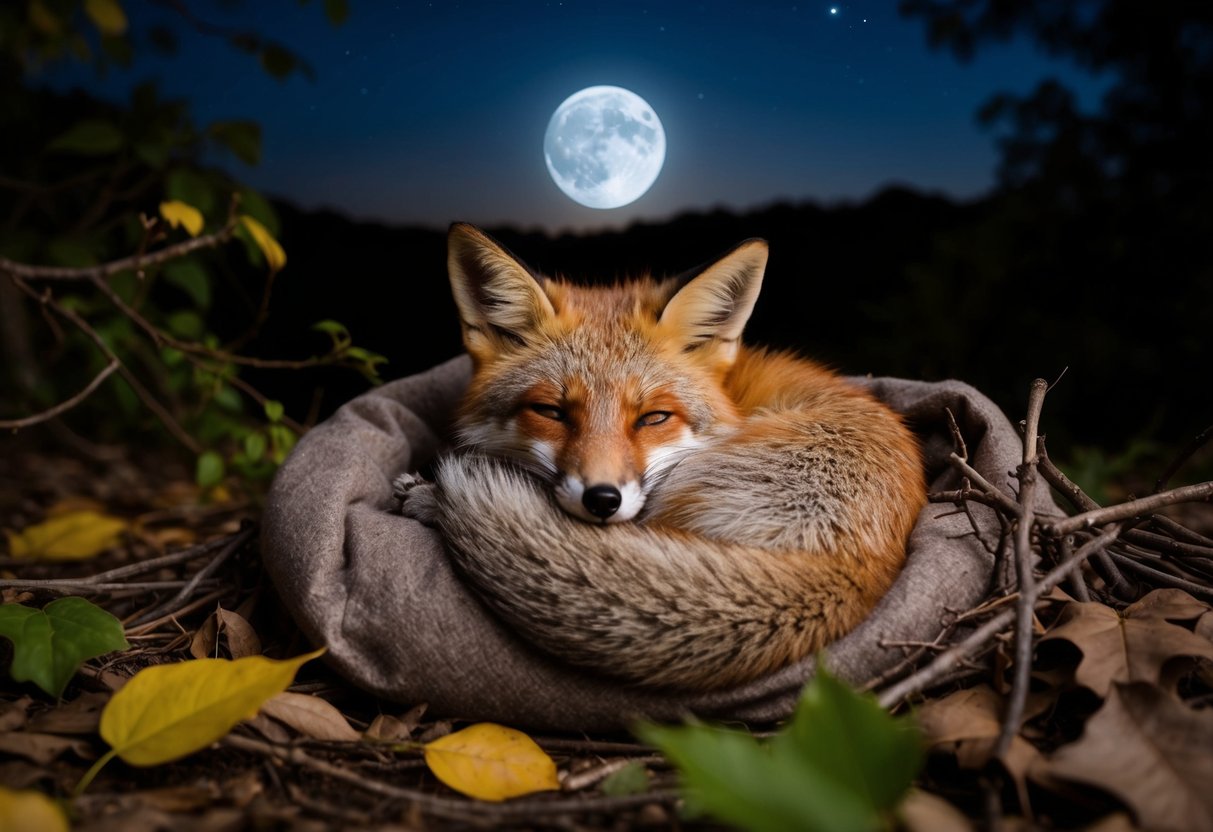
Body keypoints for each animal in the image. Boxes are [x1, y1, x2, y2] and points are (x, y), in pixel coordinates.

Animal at [394, 222, 926, 689]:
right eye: (550, 411)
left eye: (653, 417)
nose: (602, 499)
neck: (732, 398)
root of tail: (854, 565)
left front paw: (428, 494)